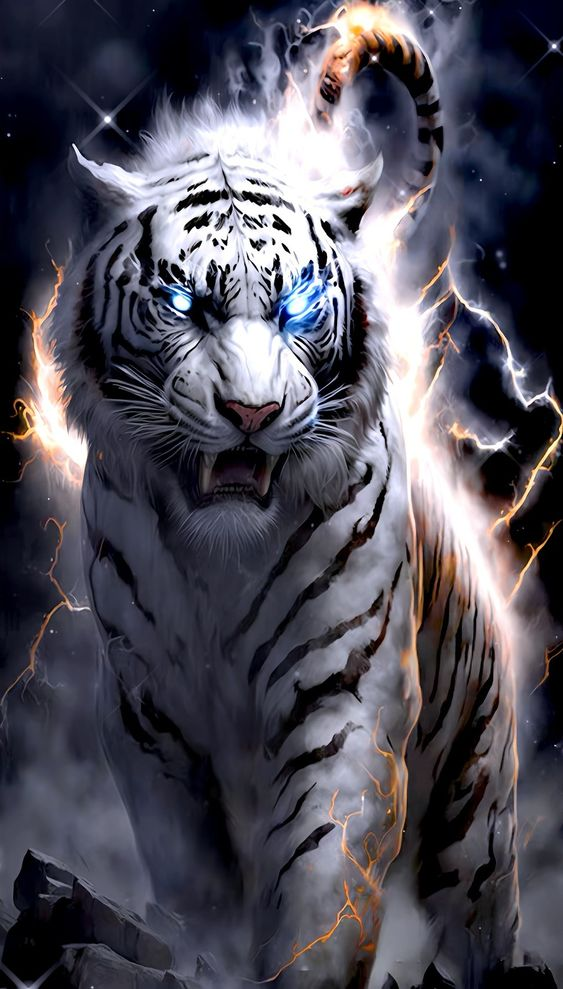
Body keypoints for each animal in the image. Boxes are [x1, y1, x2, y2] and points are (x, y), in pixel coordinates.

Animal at [48, 8, 519, 988]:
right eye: (182, 302)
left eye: (297, 302)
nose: (252, 413)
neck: (217, 560)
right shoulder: (145, 713)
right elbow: (192, 875)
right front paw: (196, 950)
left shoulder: (344, 698)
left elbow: (321, 878)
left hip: (473, 824)